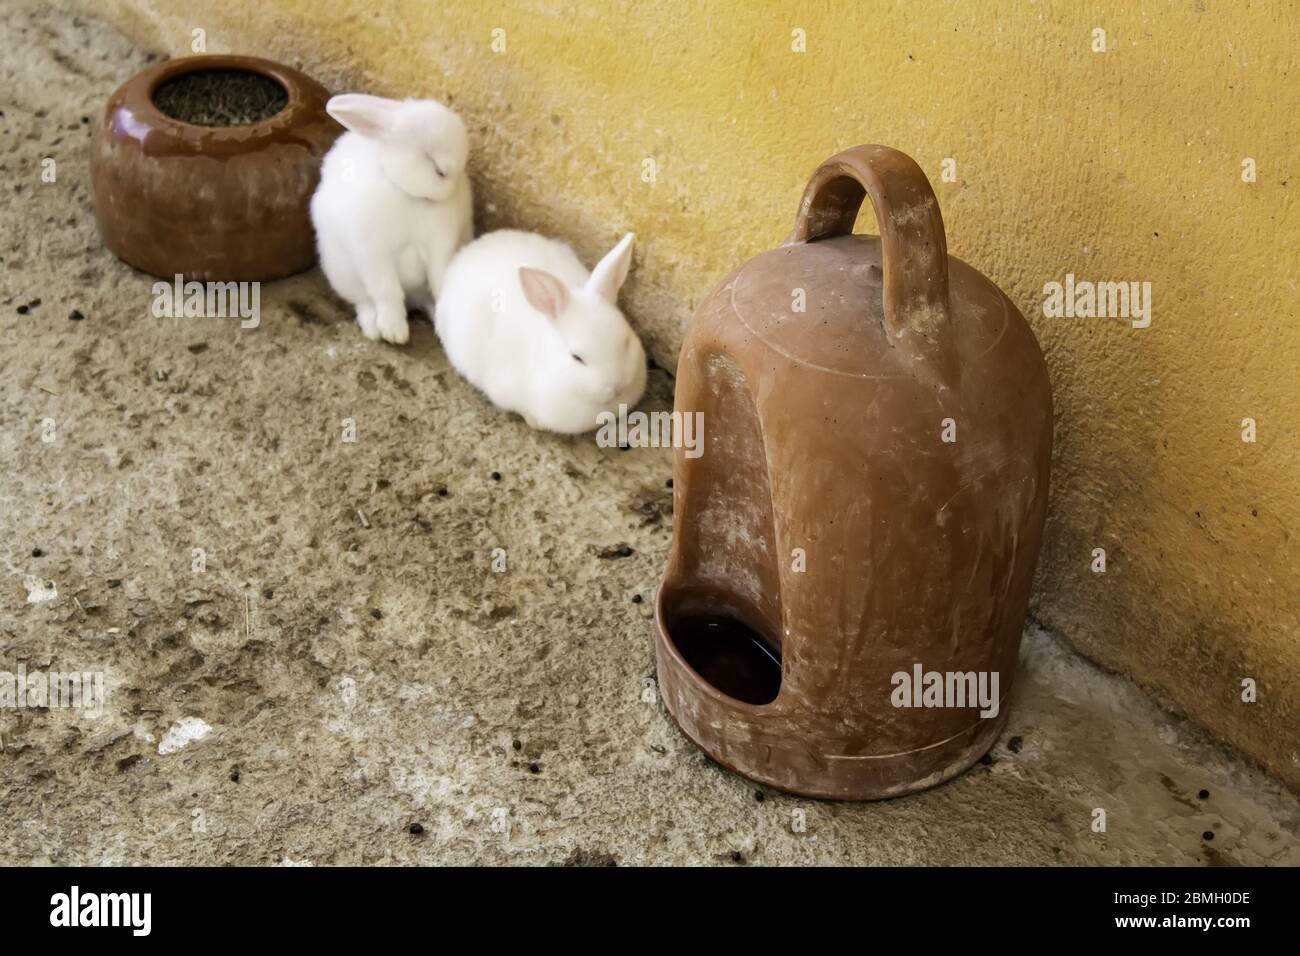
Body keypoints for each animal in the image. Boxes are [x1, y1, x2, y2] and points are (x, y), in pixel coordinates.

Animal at [310, 94, 473, 345]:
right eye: (438, 170)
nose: (453, 188)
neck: (409, 194)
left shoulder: (441, 246)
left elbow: (439, 280)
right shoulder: (372, 251)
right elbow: (387, 290)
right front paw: (394, 332)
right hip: (344, 275)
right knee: (364, 302)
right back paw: (373, 329)